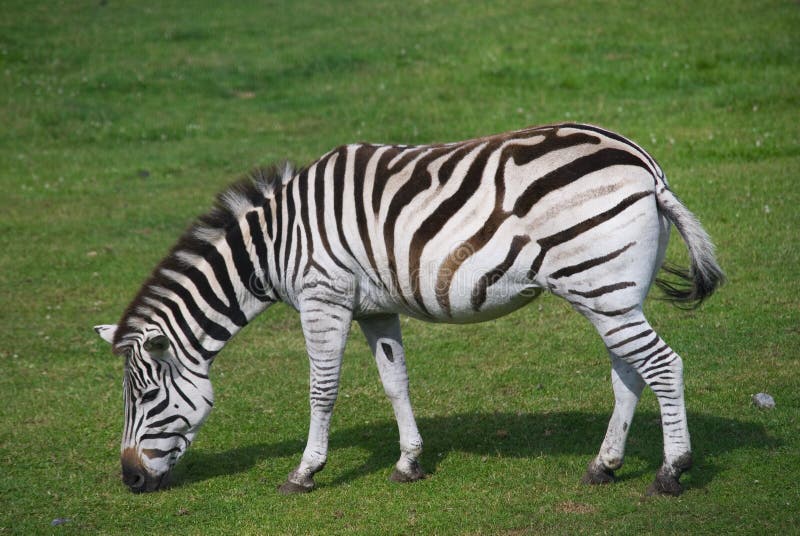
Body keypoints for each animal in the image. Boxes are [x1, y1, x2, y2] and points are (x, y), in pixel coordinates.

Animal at [94, 123, 723, 496]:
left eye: (145, 397)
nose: (129, 479)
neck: (274, 244)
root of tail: (646, 166)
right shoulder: (375, 308)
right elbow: (394, 381)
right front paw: (409, 462)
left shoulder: (323, 297)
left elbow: (322, 390)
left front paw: (305, 471)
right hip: (609, 292)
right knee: (629, 374)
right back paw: (604, 465)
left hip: (601, 288)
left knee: (663, 366)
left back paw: (671, 471)